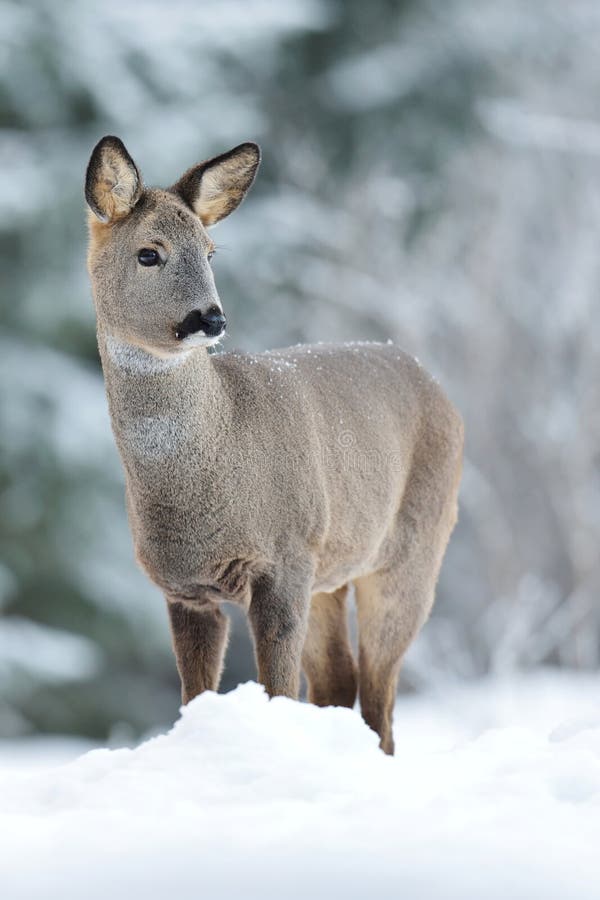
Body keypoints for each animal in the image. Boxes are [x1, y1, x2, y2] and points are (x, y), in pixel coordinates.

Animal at [84, 134, 462, 752]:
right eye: (149, 253)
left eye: (211, 252)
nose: (210, 319)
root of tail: (434, 384)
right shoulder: (184, 588)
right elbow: (194, 698)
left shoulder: (284, 559)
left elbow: (278, 691)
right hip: (330, 570)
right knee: (340, 678)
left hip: (412, 550)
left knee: (379, 690)